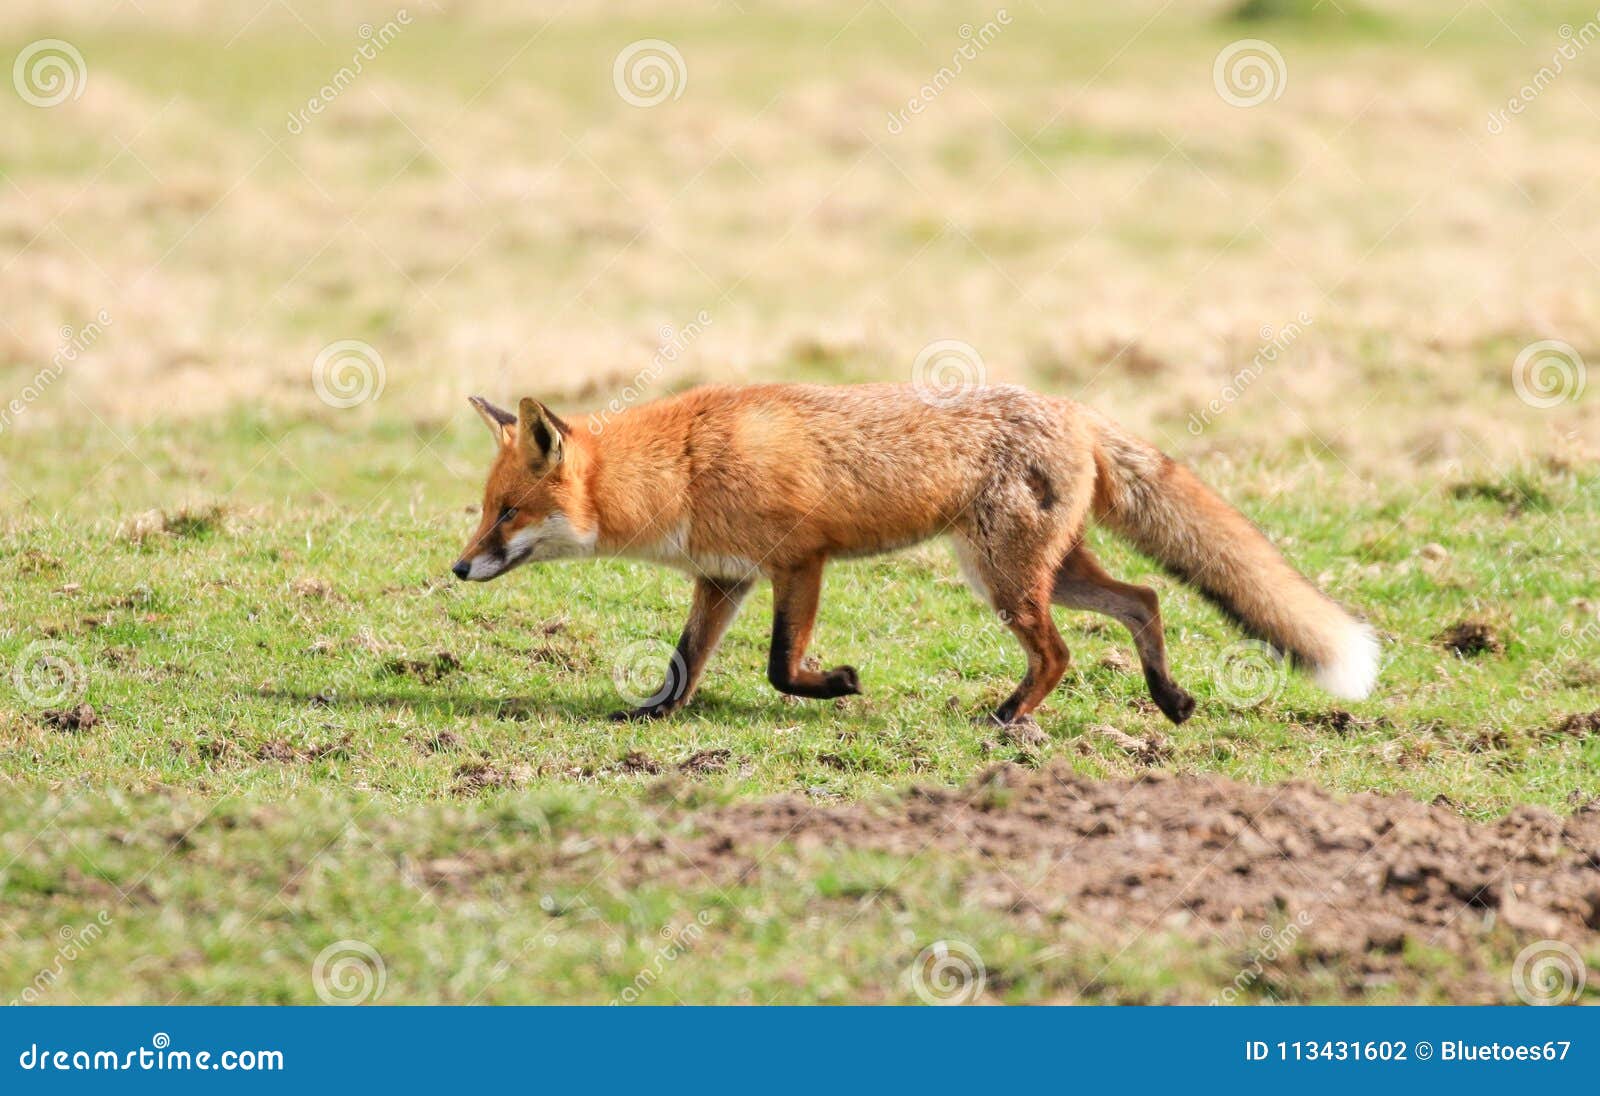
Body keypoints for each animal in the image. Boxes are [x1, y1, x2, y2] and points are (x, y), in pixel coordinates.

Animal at [452, 384, 1378, 726]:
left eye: (508, 513)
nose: (457, 569)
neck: (682, 467)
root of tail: (1074, 409)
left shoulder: (800, 563)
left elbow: (781, 668)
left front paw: (837, 686)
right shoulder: (723, 579)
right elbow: (684, 663)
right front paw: (652, 715)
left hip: (1006, 578)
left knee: (1060, 652)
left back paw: (1009, 718)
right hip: (1045, 571)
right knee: (1144, 599)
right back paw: (1171, 699)